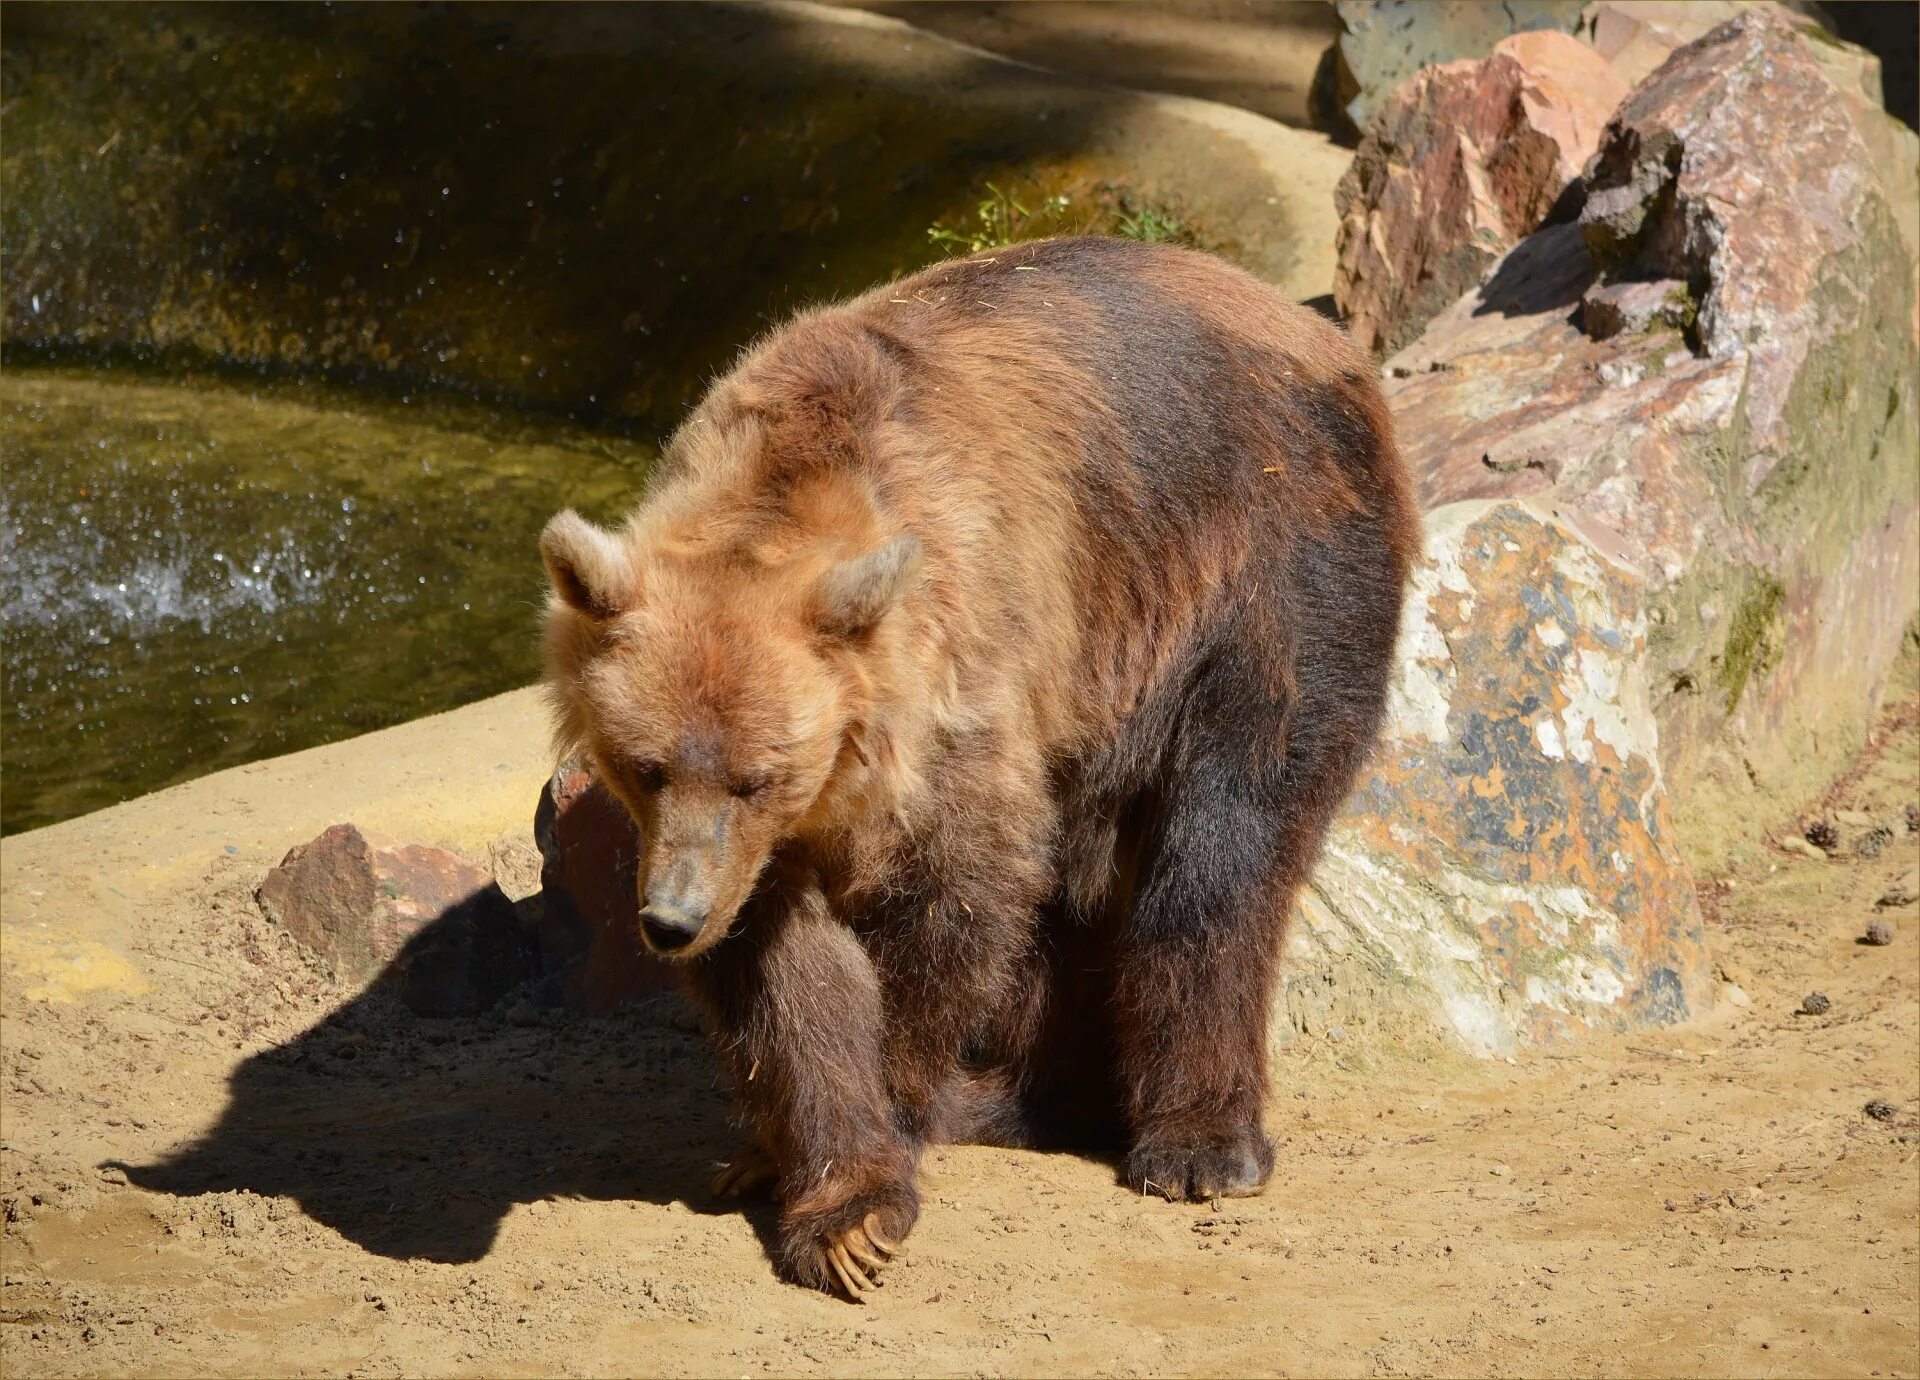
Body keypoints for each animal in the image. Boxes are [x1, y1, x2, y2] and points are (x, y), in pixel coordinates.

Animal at [541, 232, 1428, 1297]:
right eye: (644, 766)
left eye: (757, 776)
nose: (671, 921)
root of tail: (1314, 325)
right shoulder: (769, 839)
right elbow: (783, 971)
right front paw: (810, 1183)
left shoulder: (967, 674)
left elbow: (951, 906)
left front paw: (870, 1158)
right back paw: (1034, 1095)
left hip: (1258, 562)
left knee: (1226, 839)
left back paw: (1197, 1143)